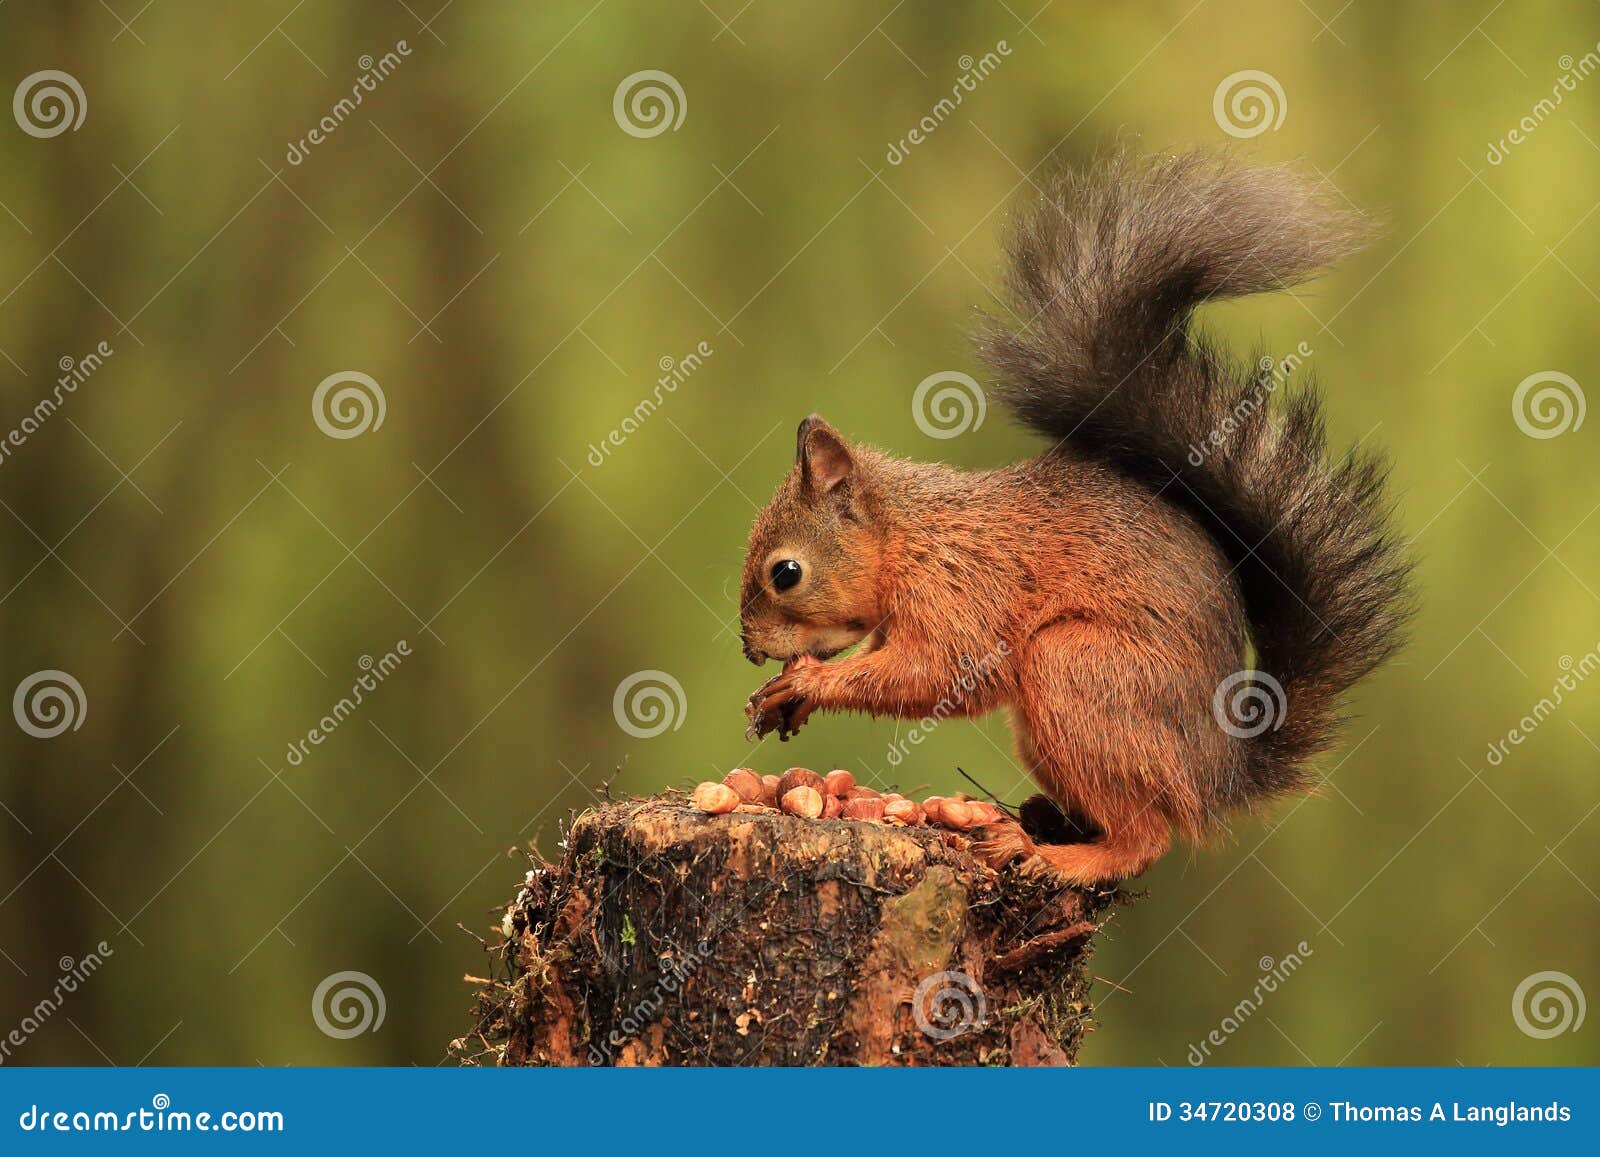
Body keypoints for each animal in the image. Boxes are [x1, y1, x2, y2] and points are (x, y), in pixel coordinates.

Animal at [737, 151, 1413, 884]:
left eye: (785, 573)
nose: (749, 649)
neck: (910, 537)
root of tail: (1221, 772)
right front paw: (787, 698)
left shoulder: (962, 591)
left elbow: (942, 672)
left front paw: (807, 680)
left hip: (1075, 673)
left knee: (1145, 837)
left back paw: (1051, 855)